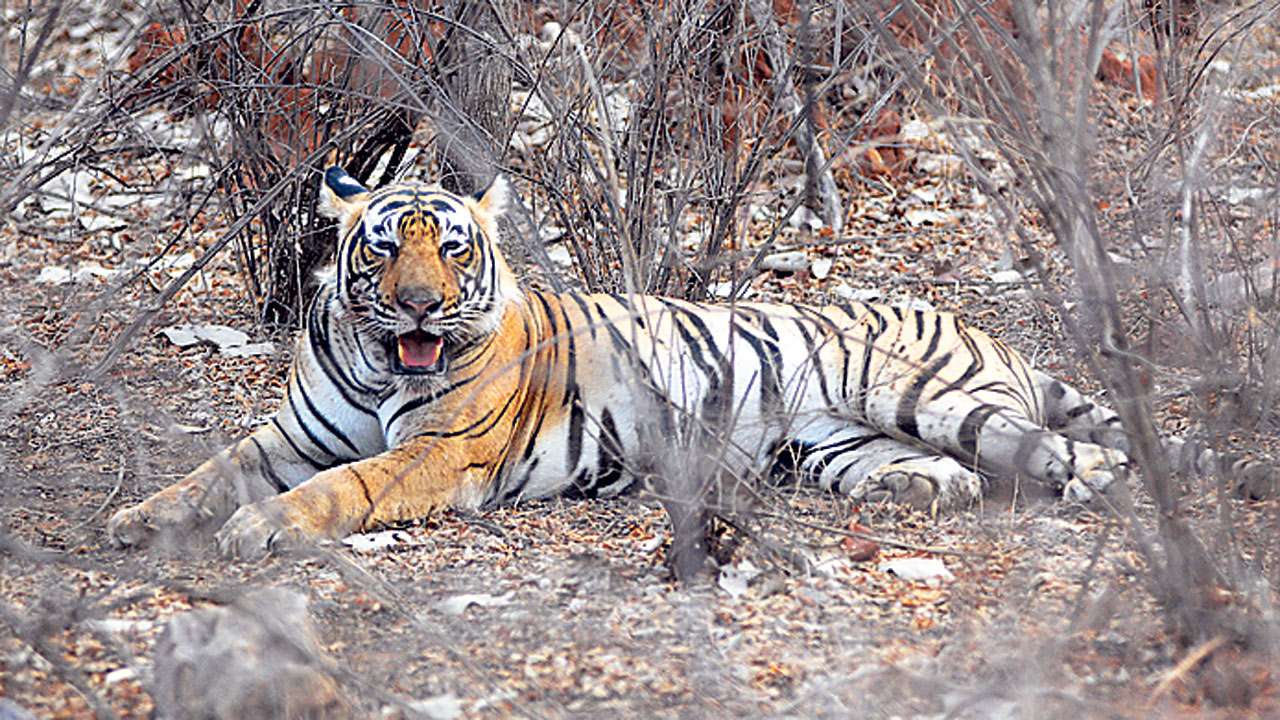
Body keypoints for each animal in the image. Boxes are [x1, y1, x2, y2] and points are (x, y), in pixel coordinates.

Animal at [107, 167, 1273, 560]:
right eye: (384, 248)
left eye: (456, 249)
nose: (422, 306)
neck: (376, 363)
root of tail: (993, 336)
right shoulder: (287, 433)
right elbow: (213, 468)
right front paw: (139, 517)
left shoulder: (435, 455)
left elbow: (344, 487)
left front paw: (260, 530)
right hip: (836, 450)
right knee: (953, 470)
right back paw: (933, 497)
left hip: (916, 390)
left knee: (1071, 456)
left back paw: (1090, 483)